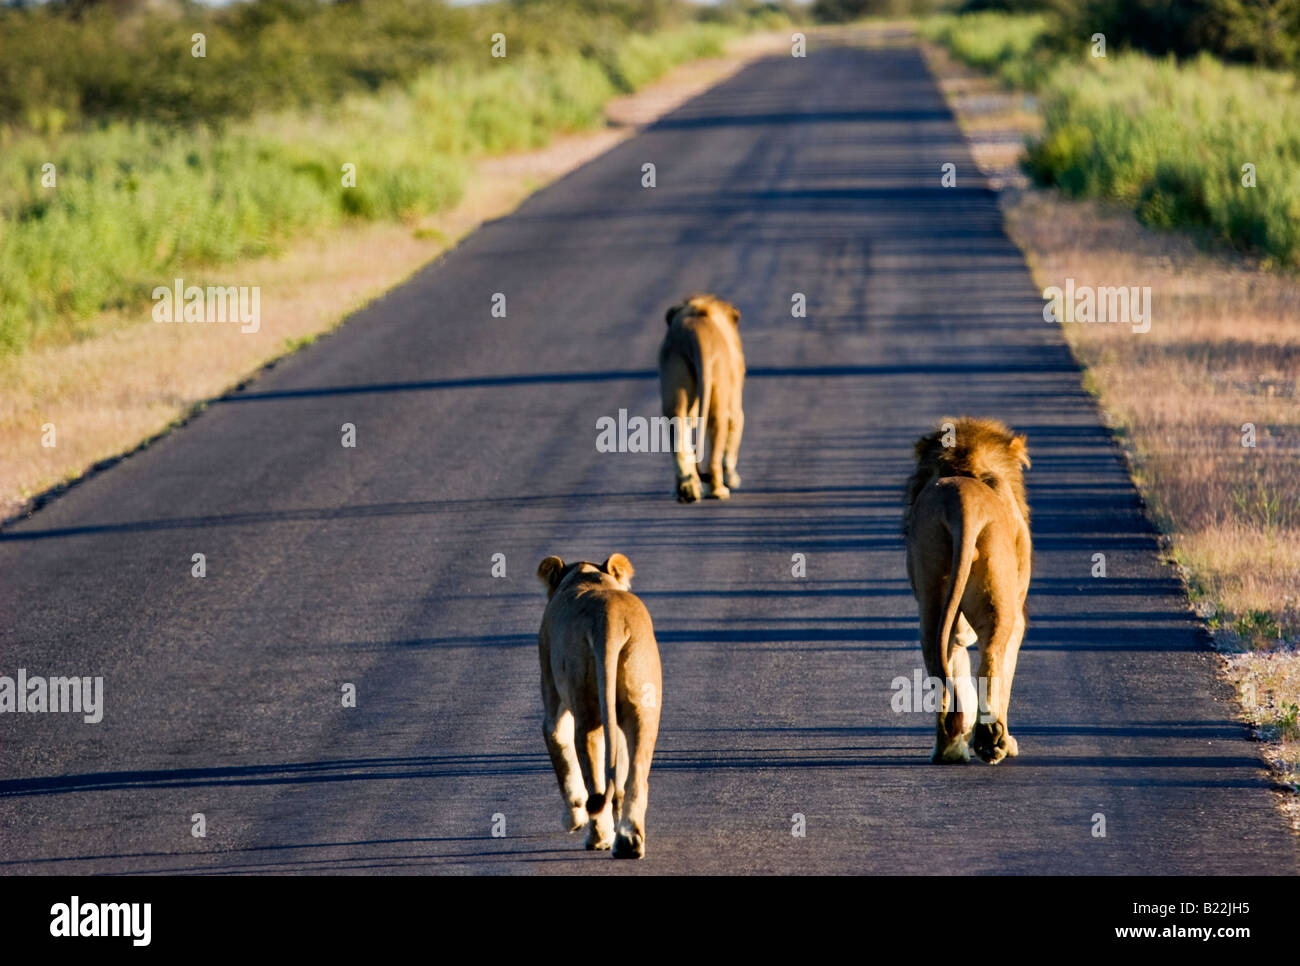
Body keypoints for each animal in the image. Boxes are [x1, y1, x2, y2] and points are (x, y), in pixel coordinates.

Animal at [536, 553, 662, 858]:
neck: (586, 575)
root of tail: (610, 621)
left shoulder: (551, 696)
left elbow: (559, 748)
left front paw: (572, 818)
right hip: (643, 706)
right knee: (634, 778)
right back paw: (629, 840)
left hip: (586, 708)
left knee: (593, 777)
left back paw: (599, 837)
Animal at [659, 294, 746, 502]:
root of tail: (694, 333)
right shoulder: (734, 400)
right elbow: (736, 426)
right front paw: (733, 478)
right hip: (718, 387)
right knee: (716, 442)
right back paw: (718, 490)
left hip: (674, 379)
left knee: (677, 432)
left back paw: (687, 491)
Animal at [902, 418, 1031, 765]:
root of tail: (961, 503)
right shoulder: (1018, 615)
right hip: (998, 600)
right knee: (992, 655)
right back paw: (990, 741)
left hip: (932, 593)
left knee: (941, 662)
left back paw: (949, 748)